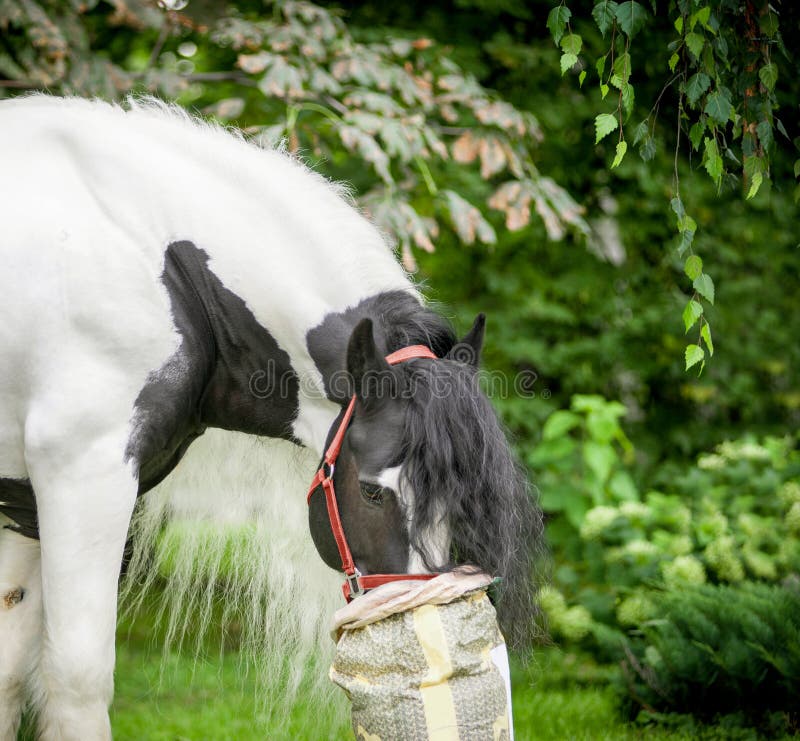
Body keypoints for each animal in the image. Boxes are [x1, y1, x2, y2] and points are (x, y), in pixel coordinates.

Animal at [0, 95, 542, 739]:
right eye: (373, 492)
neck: (157, 265)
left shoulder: (24, 507)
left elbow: (7, 675)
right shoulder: (82, 479)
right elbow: (76, 680)